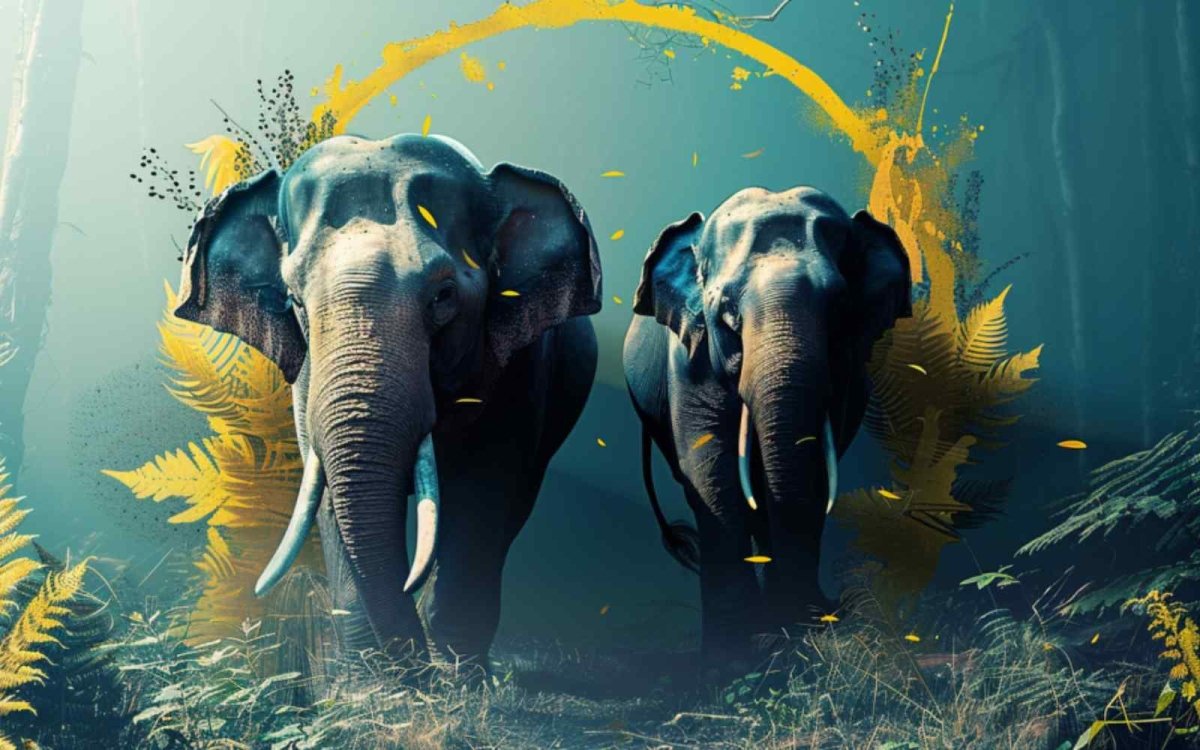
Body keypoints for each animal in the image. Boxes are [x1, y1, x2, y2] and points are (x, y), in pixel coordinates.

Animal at [174, 133, 602, 670]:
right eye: (294, 301)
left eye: (444, 296)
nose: (413, 670)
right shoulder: (306, 381)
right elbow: (328, 502)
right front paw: (373, 683)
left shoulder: (523, 367)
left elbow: (486, 491)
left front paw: (456, 679)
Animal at [623, 186, 911, 669]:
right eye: (726, 316)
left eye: (839, 309)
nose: (837, 605)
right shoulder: (688, 361)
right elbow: (711, 472)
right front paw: (731, 655)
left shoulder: (845, 375)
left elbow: (812, 471)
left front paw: (787, 634)